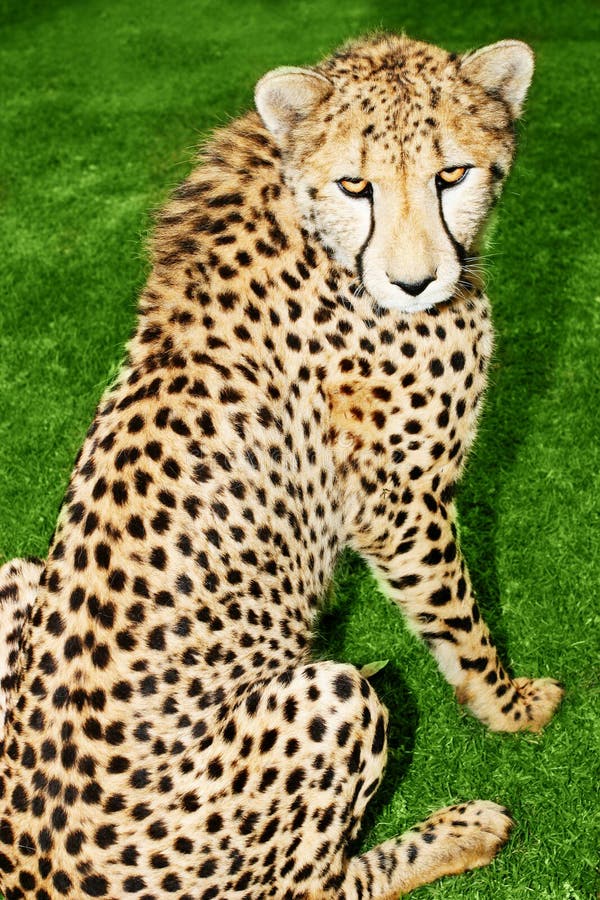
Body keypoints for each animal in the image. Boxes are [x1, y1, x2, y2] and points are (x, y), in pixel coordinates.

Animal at [0, 32, 563, 899]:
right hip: (336, 698)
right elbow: (463, 631)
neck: (302, 206)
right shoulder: (406, 505)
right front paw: (513, 707)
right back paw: (463, 828)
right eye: (357, 184)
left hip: (17, 576)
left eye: (452, 174)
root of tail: (38, 872)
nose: (413, 283)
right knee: (316, 885)